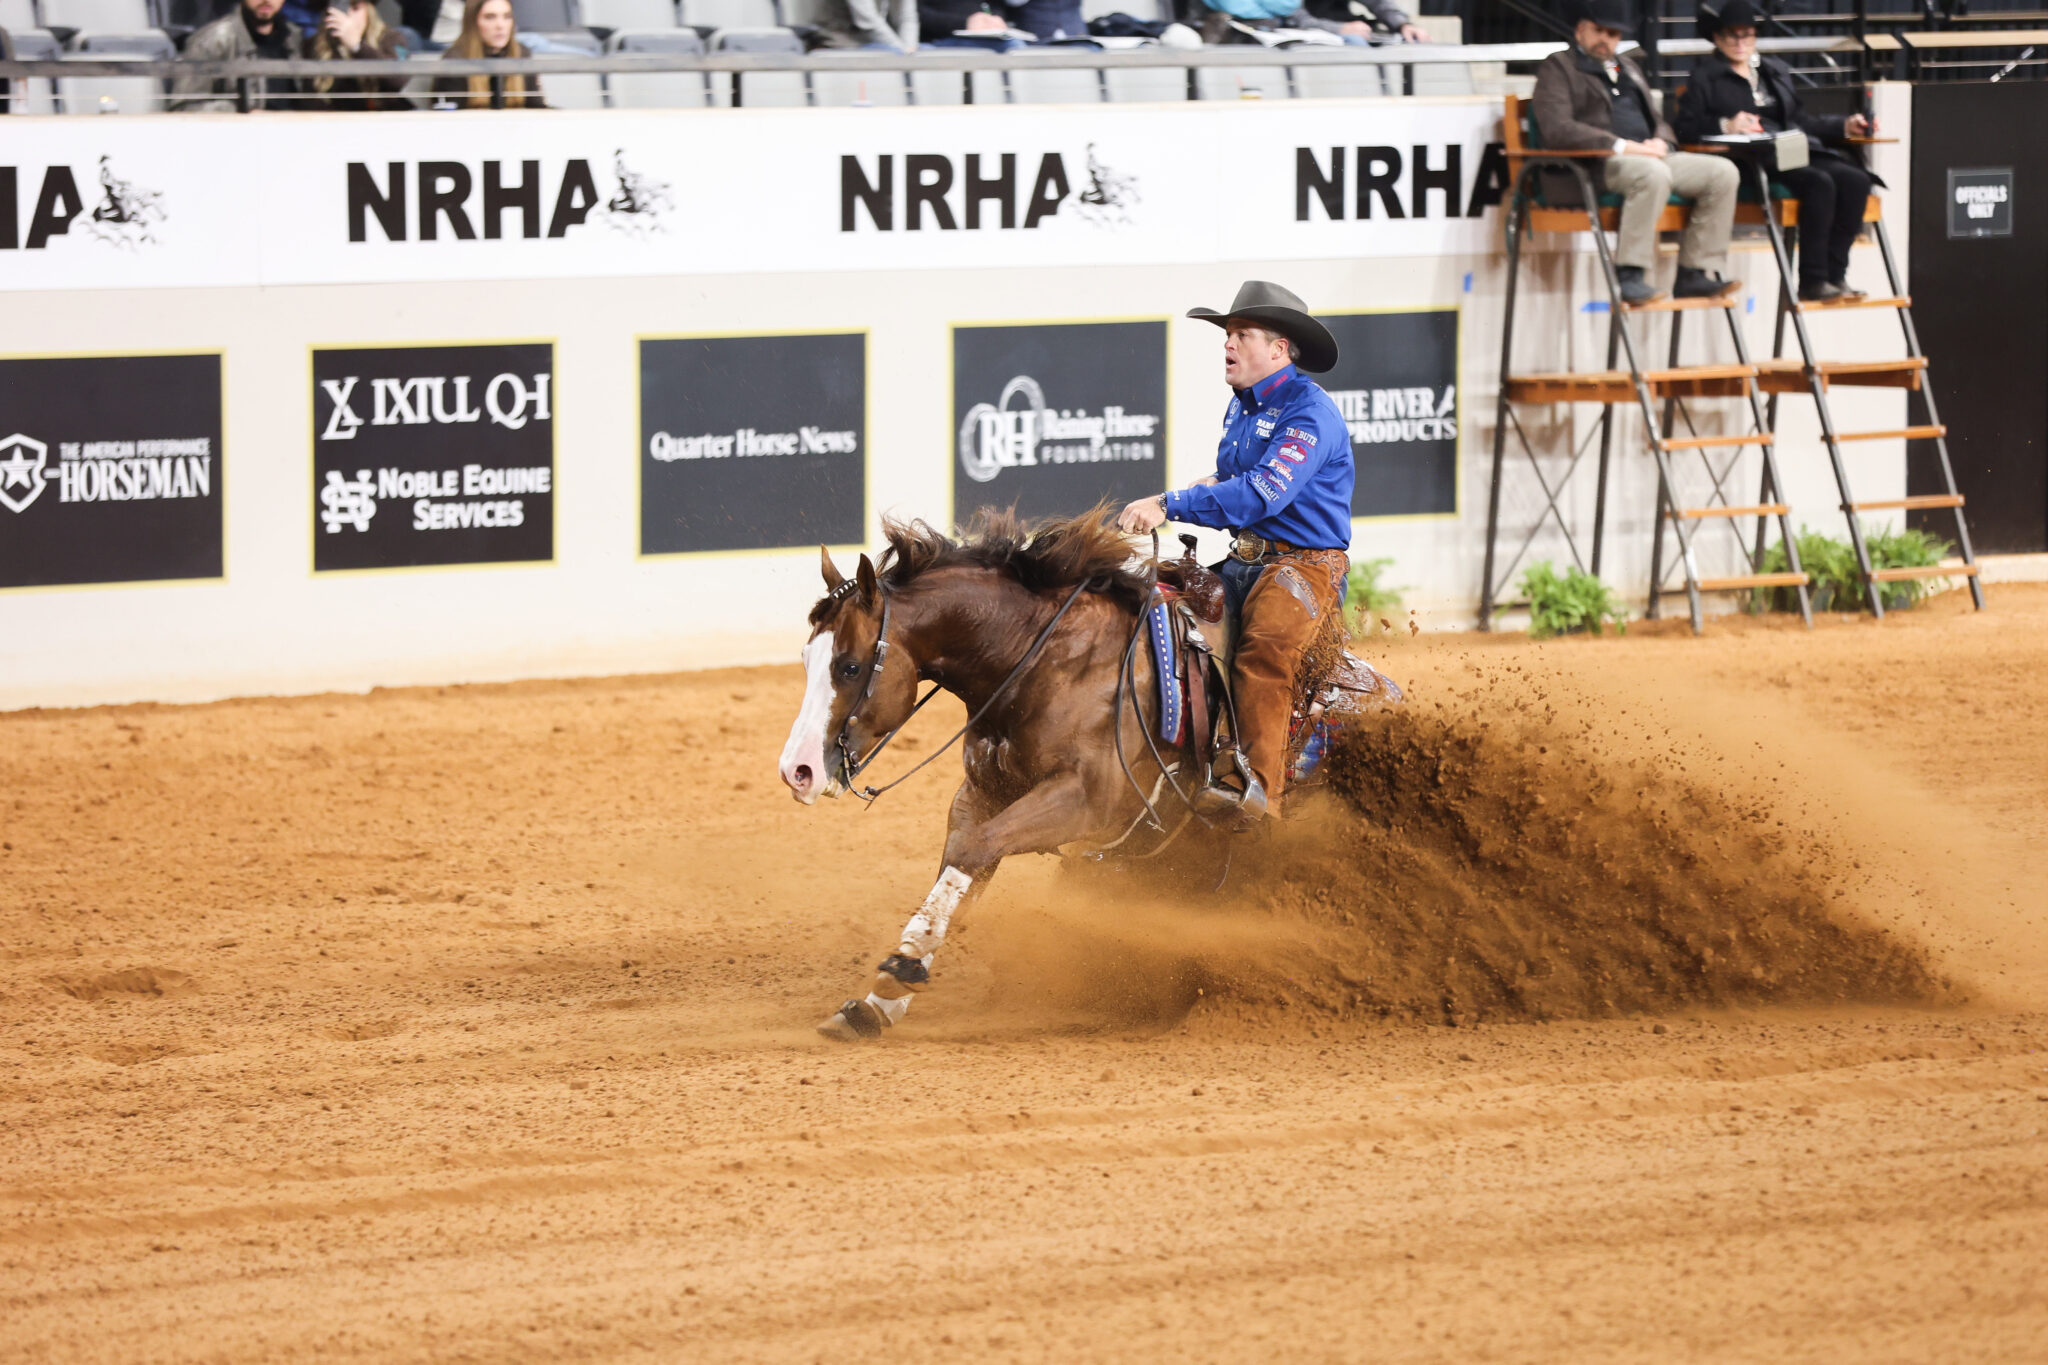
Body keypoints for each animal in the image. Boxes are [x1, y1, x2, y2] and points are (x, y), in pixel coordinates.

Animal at [777, 508, 1389, 1041]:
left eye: (850, 665)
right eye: (807, 660)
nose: (796, 770)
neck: (1045, 659)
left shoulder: (1083, 801)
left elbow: (976, 851)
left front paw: (901, 967)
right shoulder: (982, 794)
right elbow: (964, 861)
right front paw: (877, 1003)